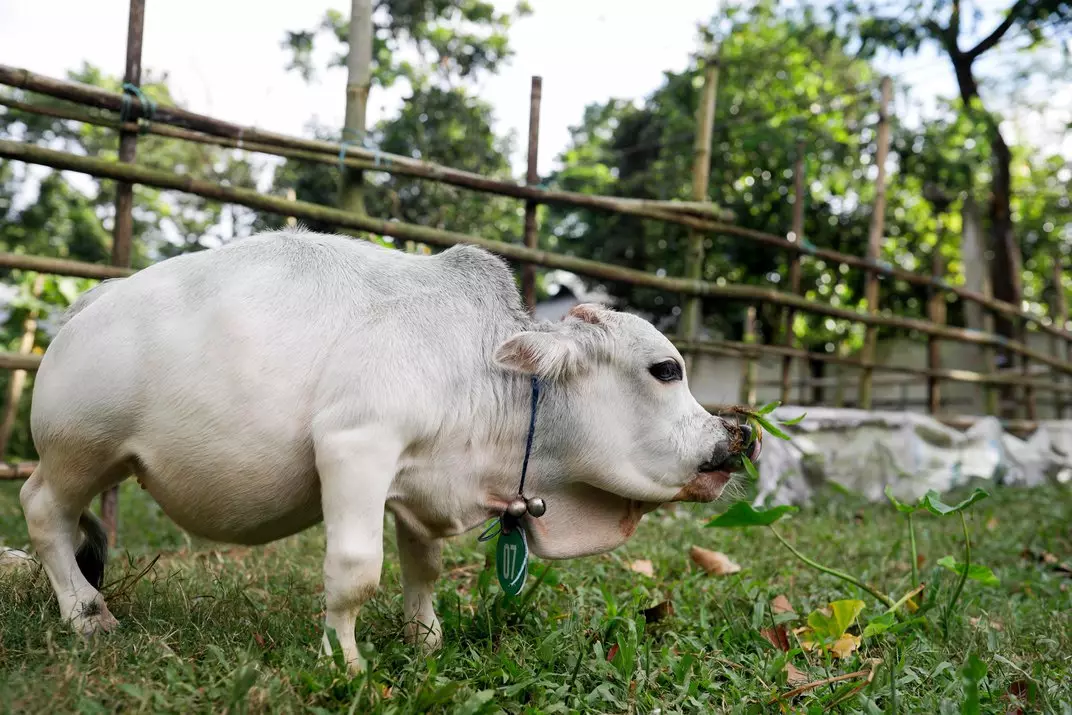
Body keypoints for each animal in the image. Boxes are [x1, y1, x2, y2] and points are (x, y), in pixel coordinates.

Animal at [20, 229, 758, 673]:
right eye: (666, 369)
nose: (739, 434)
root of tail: (91, 301)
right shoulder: (357, 444)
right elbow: (355, 570)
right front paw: (344, 660)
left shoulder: (420, 483)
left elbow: (423, 569)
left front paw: (425, 641)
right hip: (80, 448)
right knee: (41, 510)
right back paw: (87, 614)